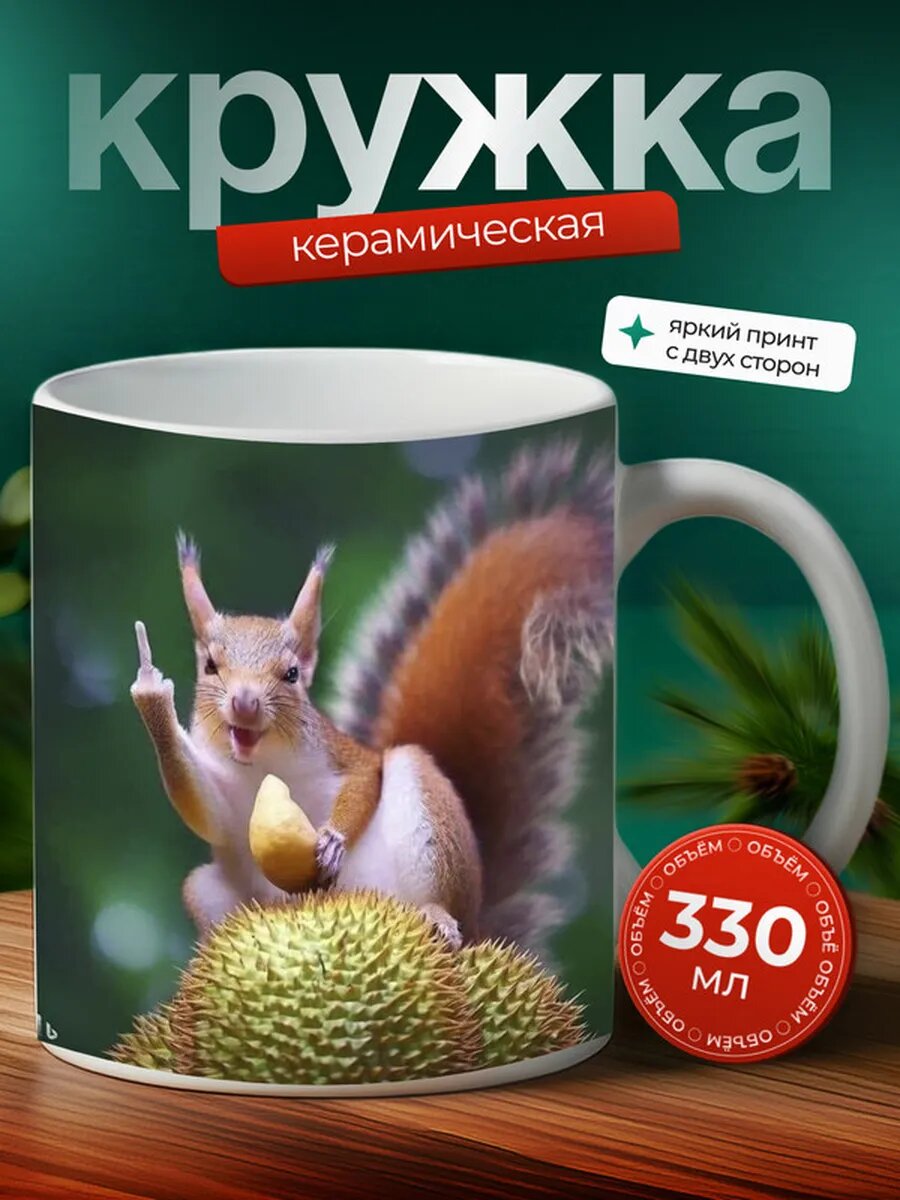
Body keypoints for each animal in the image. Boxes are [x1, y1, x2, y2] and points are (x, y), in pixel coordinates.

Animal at [130, 438, 614, 957]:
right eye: (210, 667)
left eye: (292, 674)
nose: (244, 702)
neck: (263, 763)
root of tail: (480, 922)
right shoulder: (221, 793)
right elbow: (201, 807)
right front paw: (150, 691)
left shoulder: (339, 754)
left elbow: (364, 779)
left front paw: (333, 838)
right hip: (208, 891)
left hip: (430, 830)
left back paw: (437, 915)